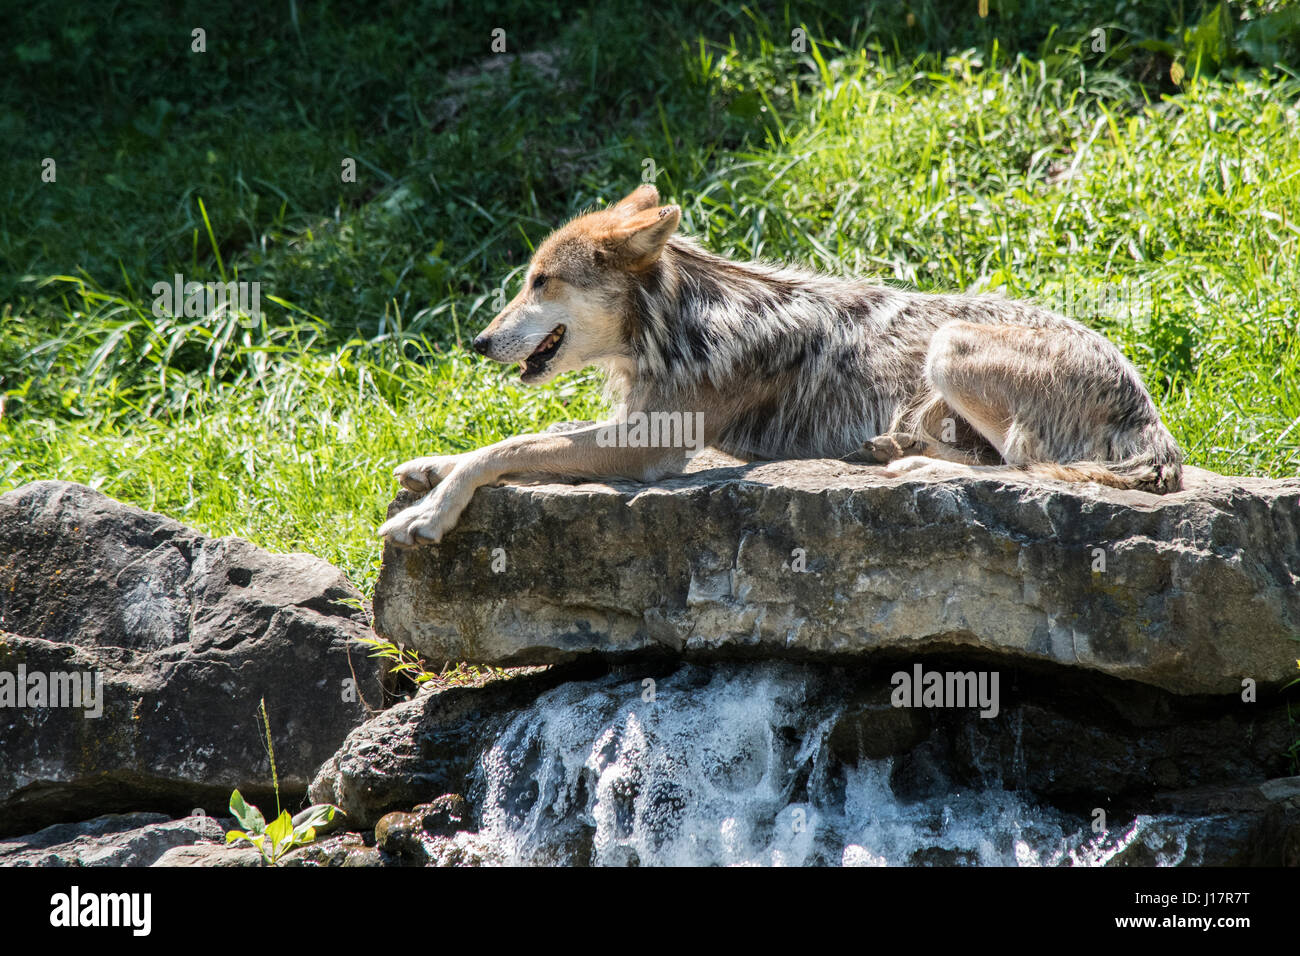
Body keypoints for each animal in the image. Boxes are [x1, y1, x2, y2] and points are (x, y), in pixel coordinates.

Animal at [378, 184, 1183, 546]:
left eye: (540, 282)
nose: (478, 343)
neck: (675, 323)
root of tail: (1150, 420)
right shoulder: (627, 421)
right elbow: (505, 441)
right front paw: (428, 468)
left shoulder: (650, 446)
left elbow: (506, 447)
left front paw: (430, 512)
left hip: (951, 343)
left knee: (1019, 468)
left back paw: (910, 462)